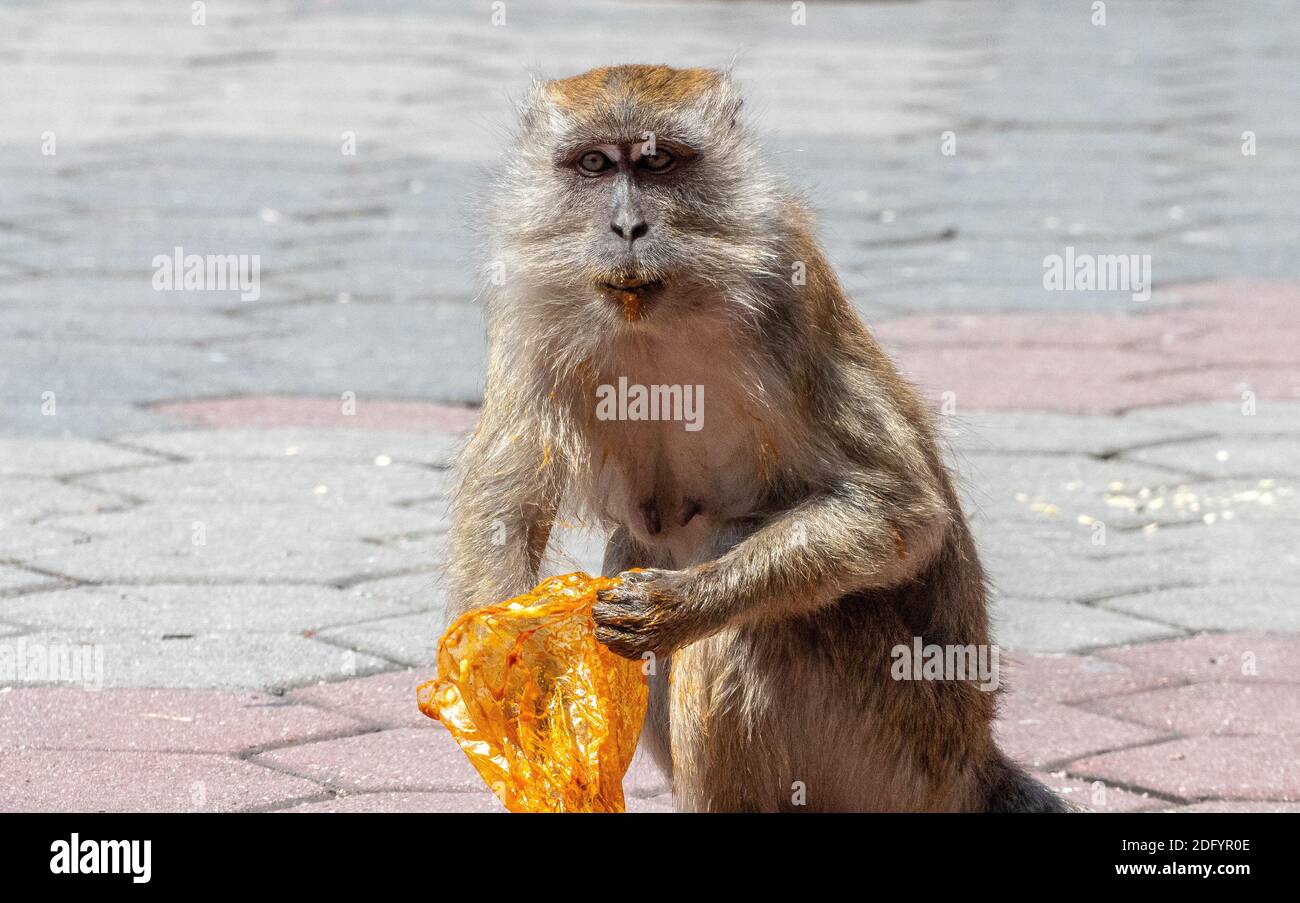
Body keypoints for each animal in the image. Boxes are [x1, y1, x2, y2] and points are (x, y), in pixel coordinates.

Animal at [446, 64, 1069, 812]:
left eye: (657, 162)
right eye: (595, 164)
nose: (627, 226)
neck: (659, 307)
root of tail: (975, 760)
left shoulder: (781, 290)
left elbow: (900, 508)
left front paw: (680, 605)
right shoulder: (532, 303)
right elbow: (507, 501)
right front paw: (515, 673)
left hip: (904, 753)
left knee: (755, 625)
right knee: (636, 542)